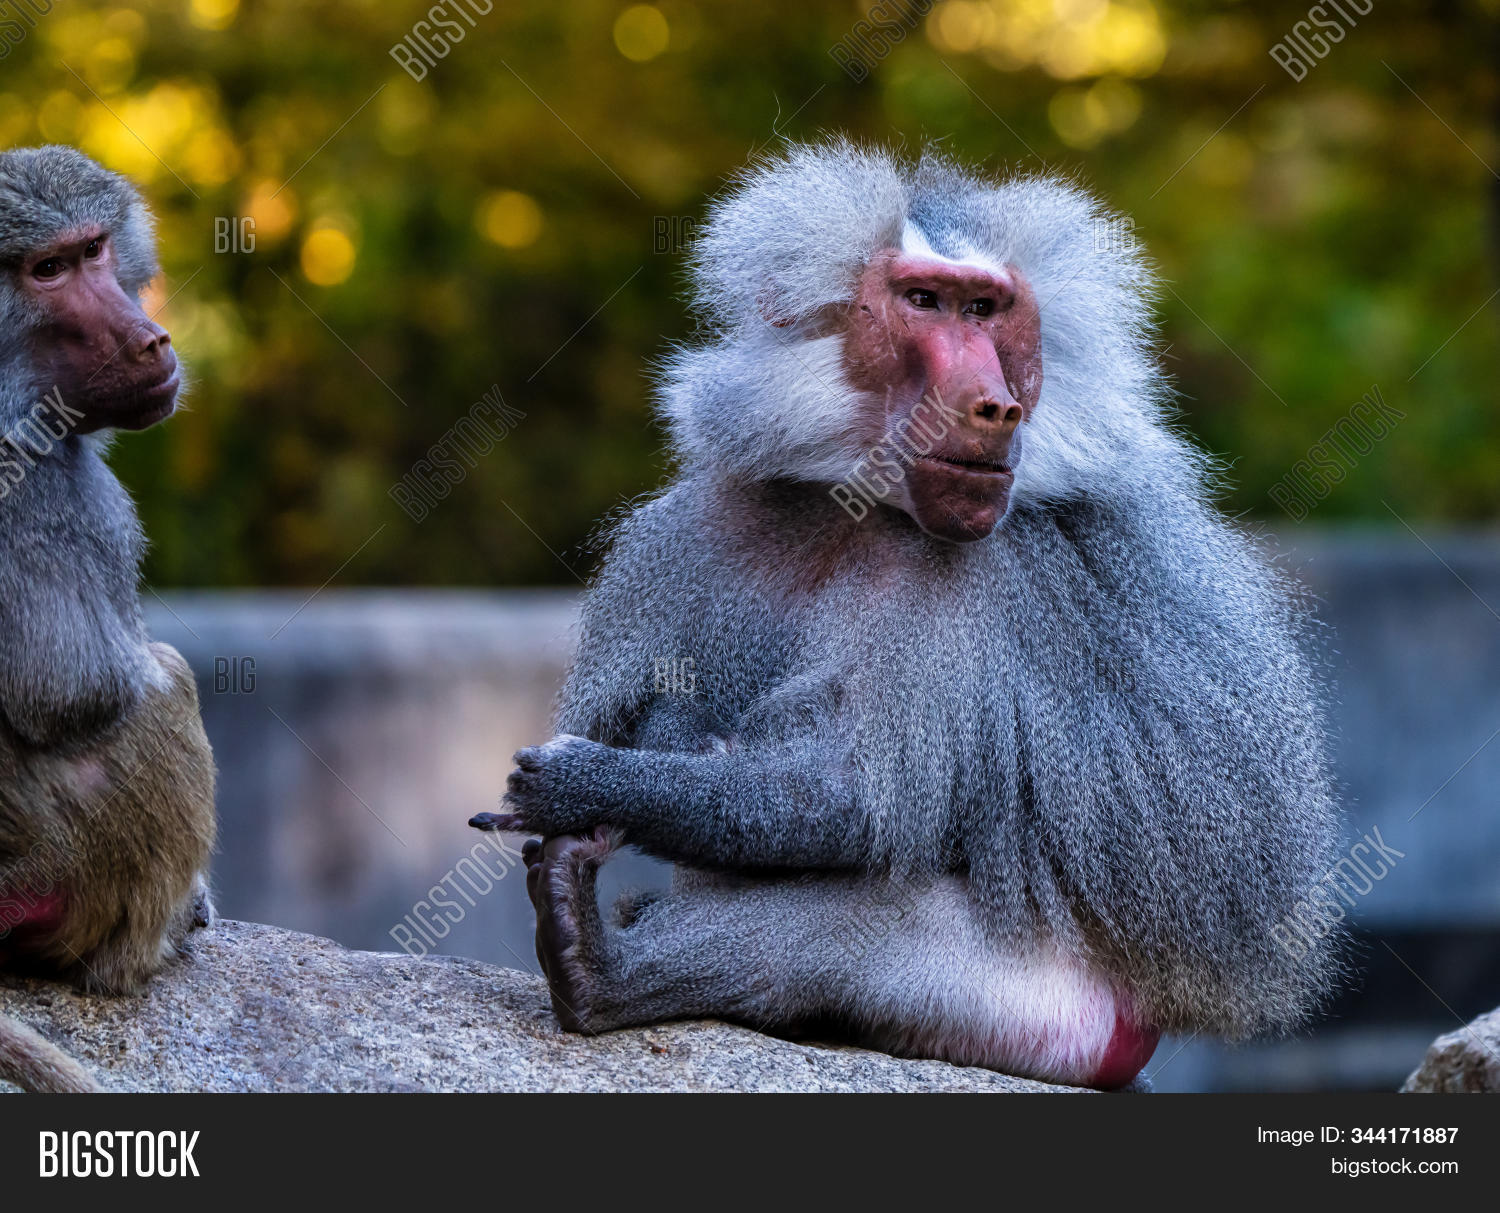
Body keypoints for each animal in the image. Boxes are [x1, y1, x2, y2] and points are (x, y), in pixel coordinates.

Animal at [470, 140, 1346, 1091]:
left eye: (988, 310)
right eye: (924, 302)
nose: (995, 406)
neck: (861, 507)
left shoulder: (972, 582)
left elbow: (851, 799)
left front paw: (587, 783)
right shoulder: (694, 532)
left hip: (1056, 1014)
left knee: (847, 913)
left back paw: (599, 966)